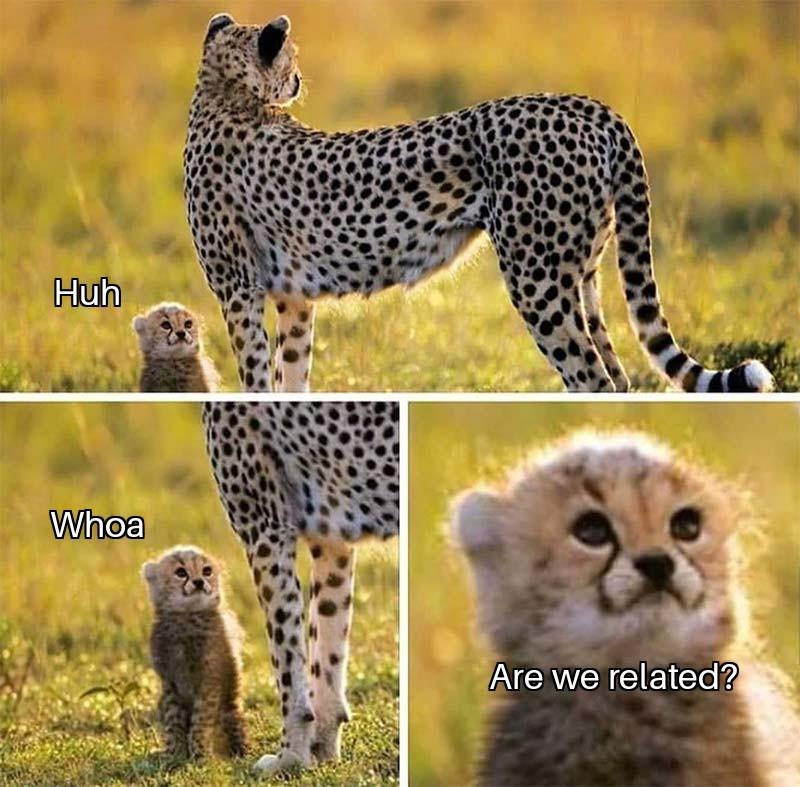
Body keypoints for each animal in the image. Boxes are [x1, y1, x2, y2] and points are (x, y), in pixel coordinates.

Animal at [183, 12, 773, 394]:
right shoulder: (292, 297)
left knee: (591, 376)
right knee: (618, 373)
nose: (300, 78)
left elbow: (258, 380)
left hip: (536, 277)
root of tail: (590, 105)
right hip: (584, 272)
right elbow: (289, 379)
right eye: (292, 59)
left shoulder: (240, 290)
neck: (222, 96)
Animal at [202, 401, 399, 775]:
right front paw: (321, 750)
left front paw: (290, 757)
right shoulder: (332, 538)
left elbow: (287, 659)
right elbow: (327, 649)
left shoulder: (266, 530)